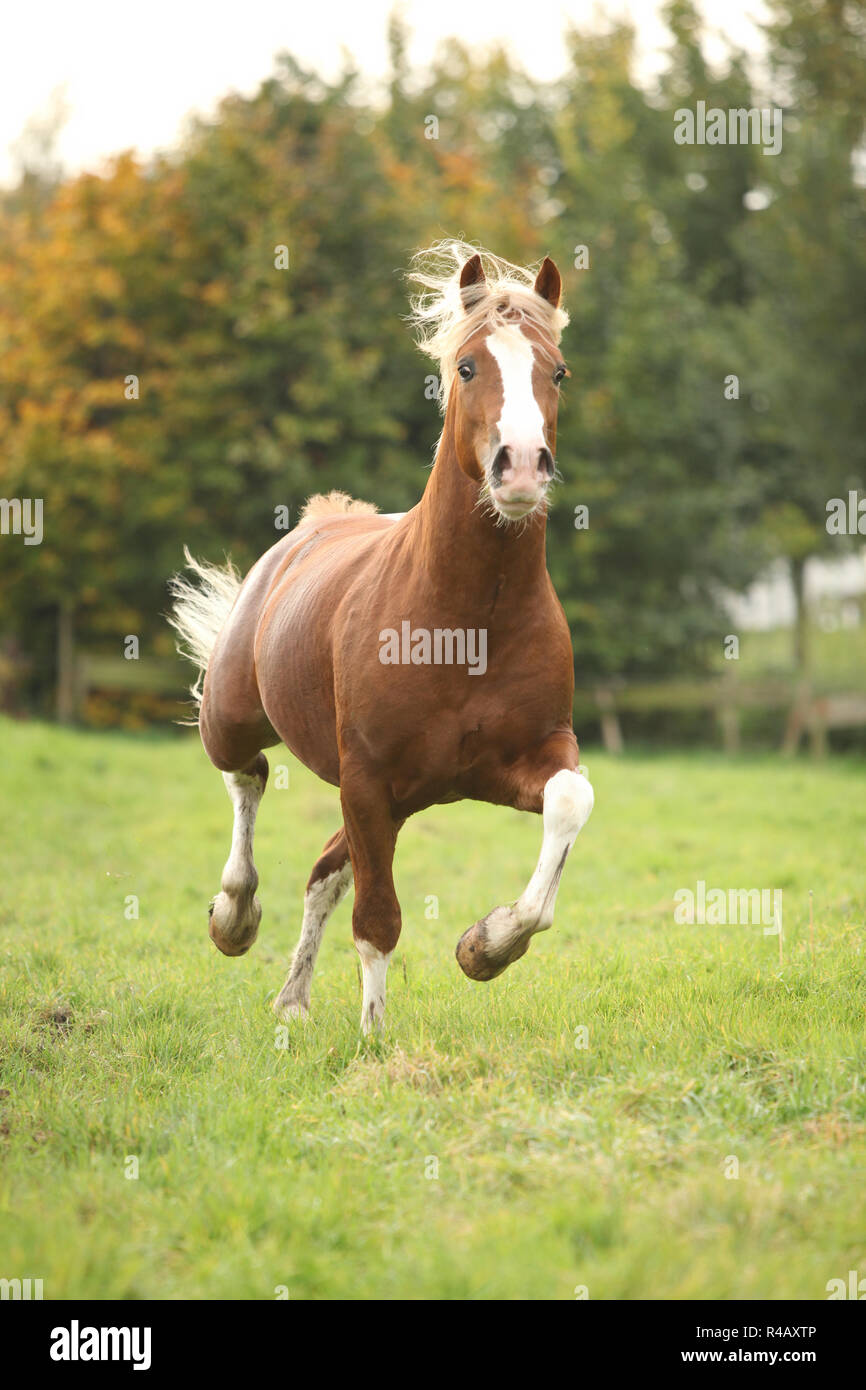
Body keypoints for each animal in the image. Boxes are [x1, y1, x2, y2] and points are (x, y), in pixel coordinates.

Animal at [169, 240, 595, 1034]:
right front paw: (374, 1038)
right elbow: (378, 920)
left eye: (557, 370)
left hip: (397, 800)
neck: (467, 623)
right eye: (468, 367)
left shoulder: (521, 759)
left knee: (322, 874)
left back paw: (293, 1002)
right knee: (248, 779)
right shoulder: (367, 778)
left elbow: (568, 801)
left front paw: (485, 946)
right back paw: (234, 919)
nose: (522, 467)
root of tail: (314, 525)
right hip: (239, 720)